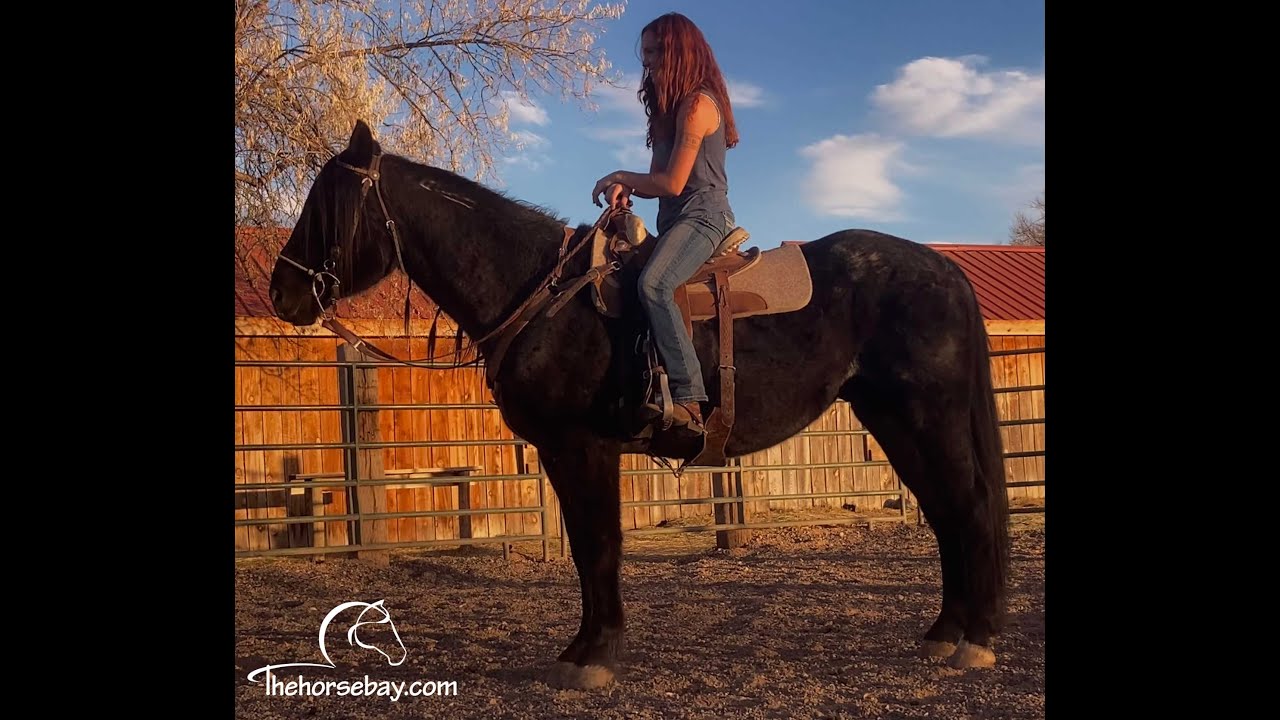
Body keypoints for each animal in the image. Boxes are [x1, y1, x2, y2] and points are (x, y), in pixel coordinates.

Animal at [268, 120, 1011, 688]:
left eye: (327, 205)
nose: (283, 292)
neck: (544, 297)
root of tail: (944, 268)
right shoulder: (564, 454)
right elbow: (587, 549)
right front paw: (583, 649)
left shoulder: (582, 448)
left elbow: (598, 546)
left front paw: (593, 657)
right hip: (893, 419)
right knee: (945, 513)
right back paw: (943, 633)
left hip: (929, 417)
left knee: (969, 509)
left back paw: (974, 641)